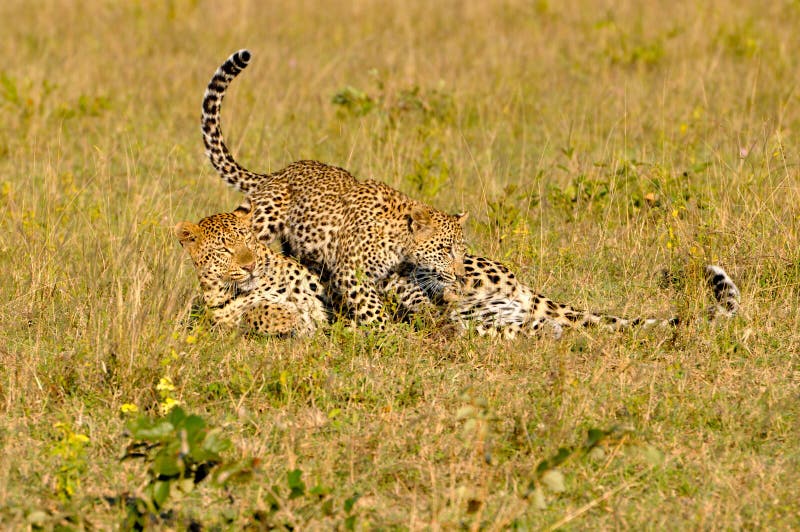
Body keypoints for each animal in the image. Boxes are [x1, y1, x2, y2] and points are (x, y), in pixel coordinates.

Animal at [174, 209, 329, 337]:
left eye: (247, 240)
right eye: (223, 250)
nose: (250, 266)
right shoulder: (223, 318)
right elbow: (251, 313)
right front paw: (289, 317)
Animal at [201, 49, 468, 327]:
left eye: (462, 252)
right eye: (446, 250)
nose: (461, 277)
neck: (401, 239)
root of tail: (277, 173)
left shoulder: (392, 275)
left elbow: (414, 295)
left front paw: (434, 318)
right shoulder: (351, 273)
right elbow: (373, 310)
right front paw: (389, 331)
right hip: (260, 226)